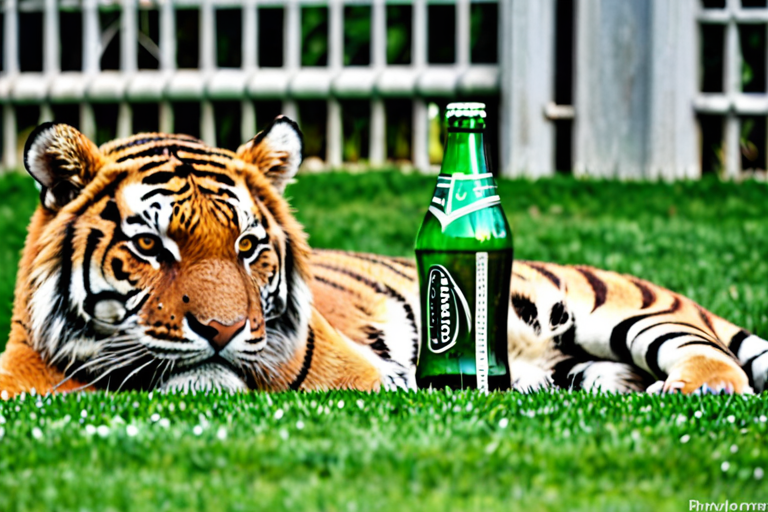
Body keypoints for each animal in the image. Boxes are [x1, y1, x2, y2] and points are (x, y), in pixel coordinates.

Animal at [0, 117, 767, 398]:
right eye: (149, 246)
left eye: (248, 247)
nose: (223, 332)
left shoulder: (360, 379)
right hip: (574, 368)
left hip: (612, 309)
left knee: (712, 356)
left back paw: (691, 387)